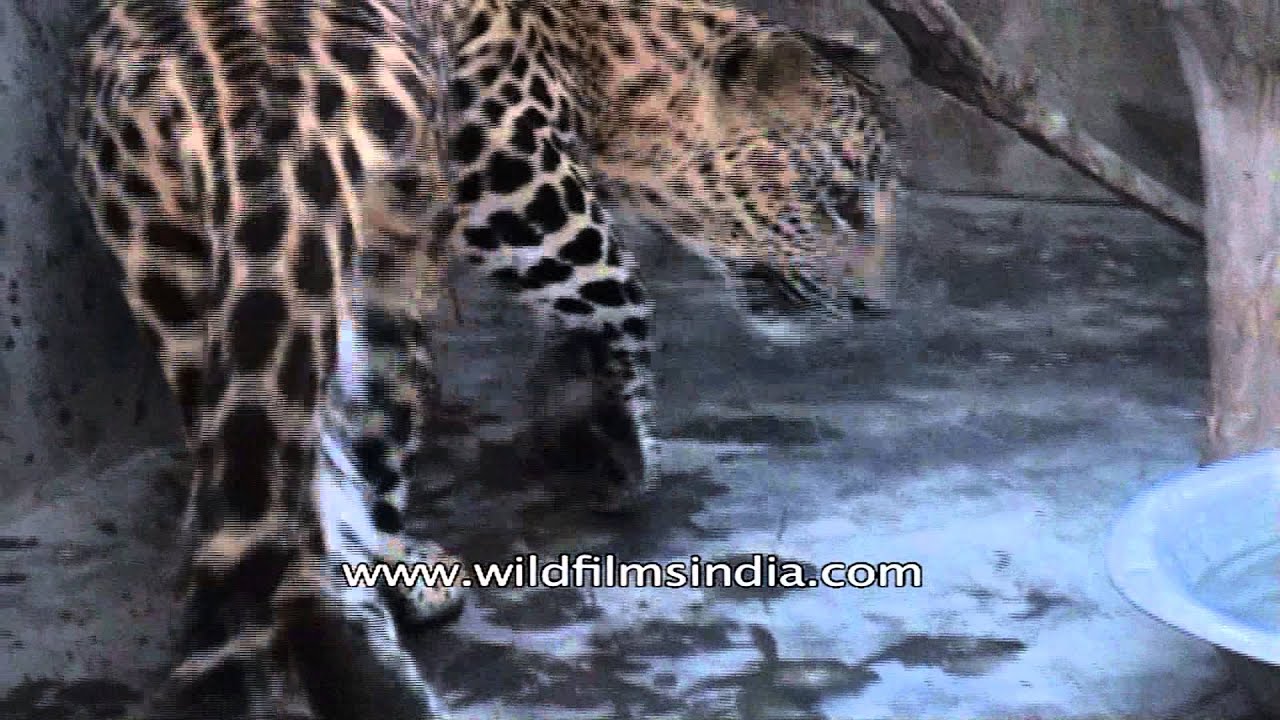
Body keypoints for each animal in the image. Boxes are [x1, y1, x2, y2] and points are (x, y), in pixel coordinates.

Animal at [67, 0, 898, 717]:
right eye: (843, 201)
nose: (877, 306)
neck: (605, 55)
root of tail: (255, 103)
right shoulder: (511, 161)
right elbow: (620, 289)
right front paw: (612, 439)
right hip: (391, 262)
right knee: (362, 448)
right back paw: (402, 593)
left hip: (176, 267)